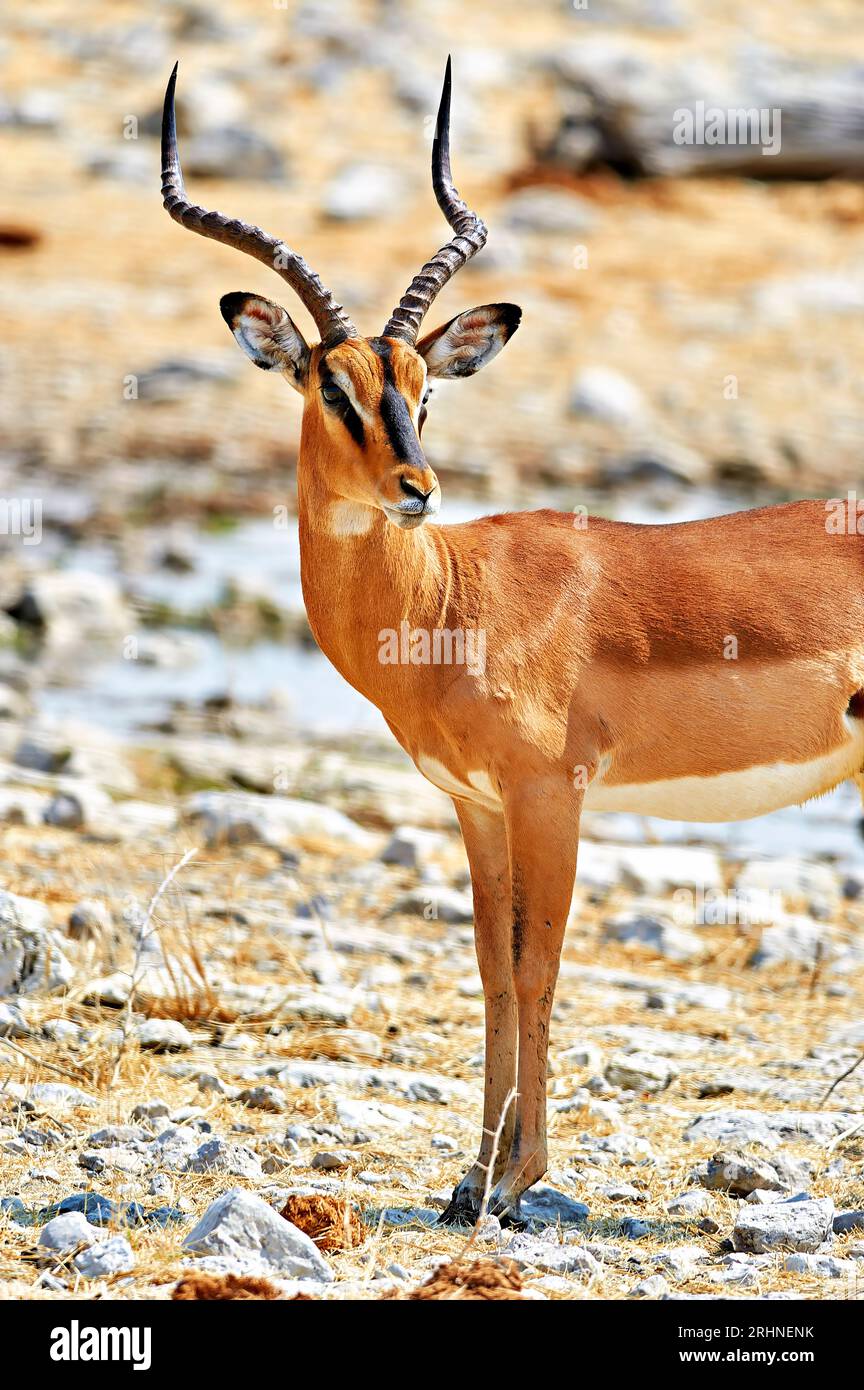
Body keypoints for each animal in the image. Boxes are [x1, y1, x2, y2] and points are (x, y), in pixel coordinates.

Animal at [161, 59, 864, 1223]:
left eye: (424, 388)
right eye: (333, 385)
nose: (417, 487)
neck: (455, 604)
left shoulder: (551, 796)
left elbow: (540, 967)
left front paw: (521, 1178)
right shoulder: (477, 804)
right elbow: (491, 968)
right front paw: (469, 1180)